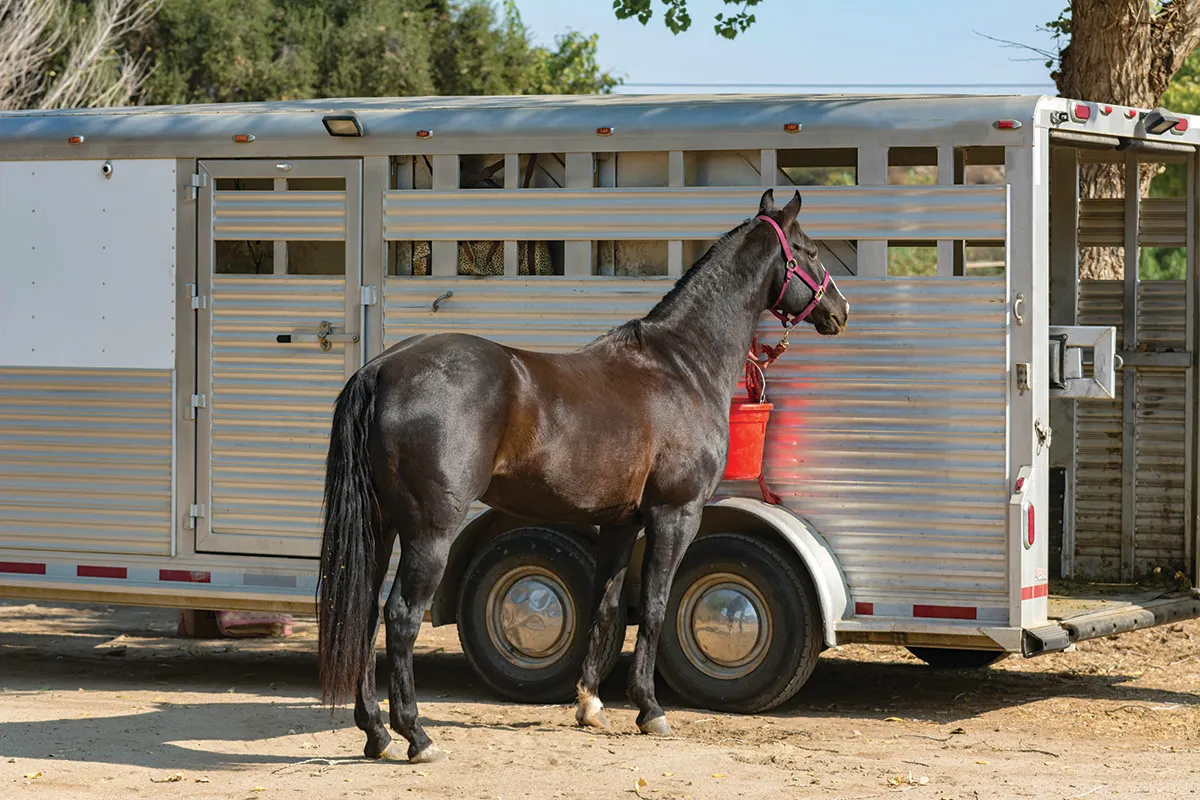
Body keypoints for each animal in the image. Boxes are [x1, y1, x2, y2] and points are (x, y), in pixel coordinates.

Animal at [316, 188, 850, 763]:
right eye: (810, 250)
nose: (841, 310)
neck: (681, 365)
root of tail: (381, 368)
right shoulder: (675, 515)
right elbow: (655, 606)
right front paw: (650, 710)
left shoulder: (619, 522)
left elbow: (608, 605)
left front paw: (590, 705)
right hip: (429, 532)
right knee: (400, 617)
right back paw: (416, 735)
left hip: (380, 525)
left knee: (365, 613)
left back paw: (376, 733)